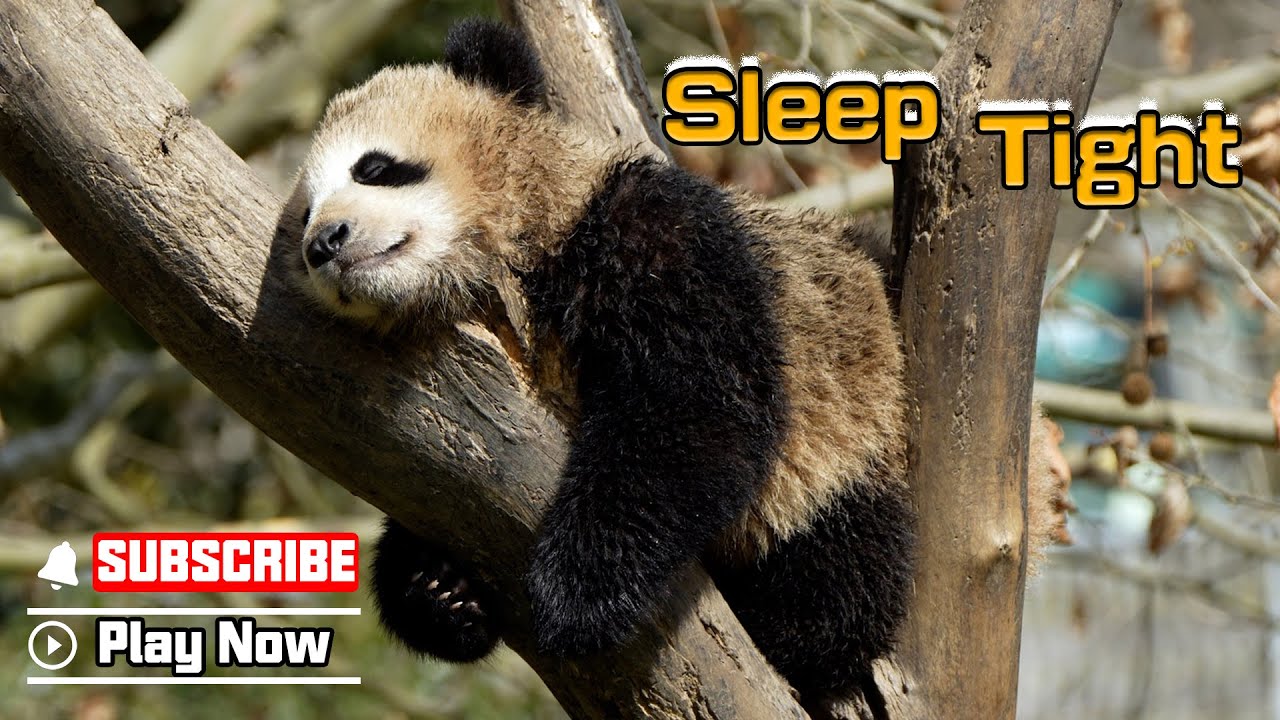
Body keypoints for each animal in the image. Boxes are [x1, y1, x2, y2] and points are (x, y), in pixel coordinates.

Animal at [281, 18, 1063, 702]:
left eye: (376, 168)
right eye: (305, 213)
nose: (324, 242)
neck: (508, 260)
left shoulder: (649, 232)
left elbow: (695, 408)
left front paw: (578, 594)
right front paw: (440, 589)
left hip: (854, 433)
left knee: (842, 565)